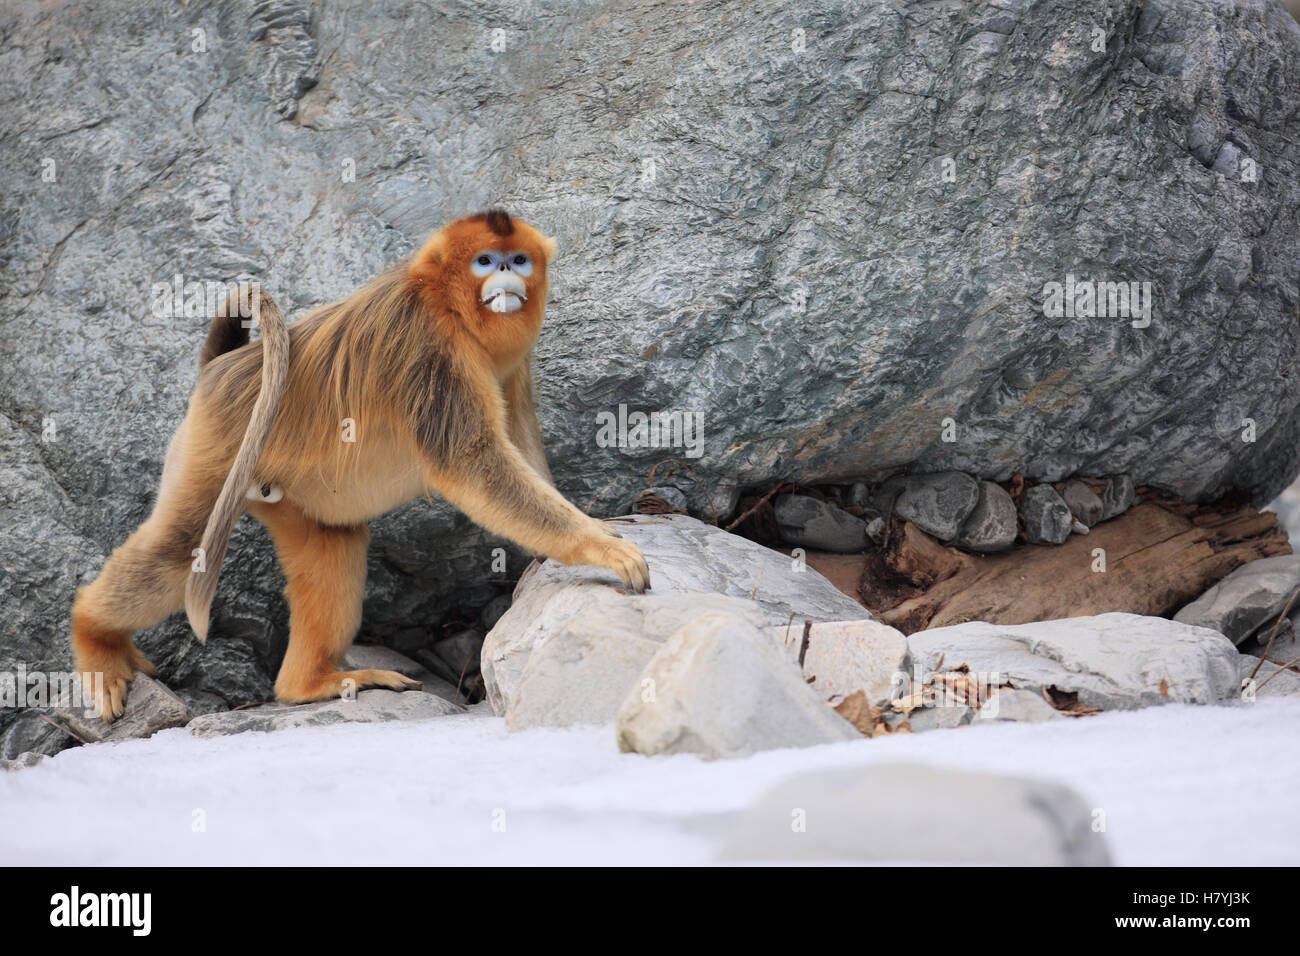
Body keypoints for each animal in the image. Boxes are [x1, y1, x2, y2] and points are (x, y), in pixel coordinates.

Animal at [71, 209, 650, 721]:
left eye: (519, 260)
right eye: (486, 260)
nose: (507, 274)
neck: (448, 306)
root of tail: (222, 367)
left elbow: (520, 441)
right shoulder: (430, 349)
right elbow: (471, 463)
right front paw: (597, 546)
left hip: (280, 492)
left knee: (333, 547)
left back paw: (310, 685)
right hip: (216, 448)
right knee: (182, 550)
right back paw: (93, 638)